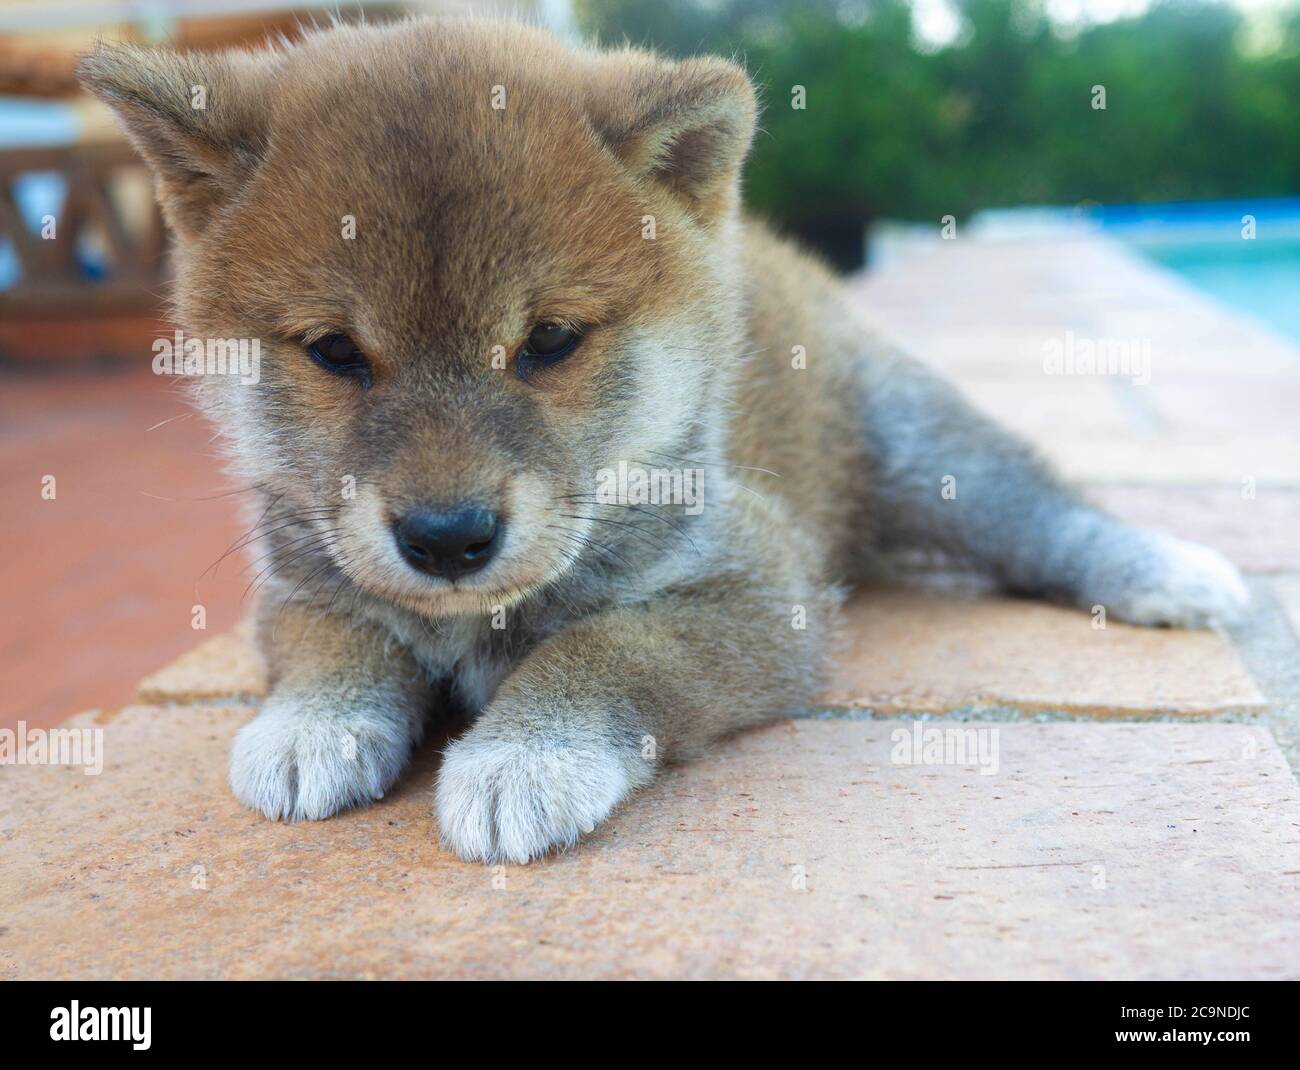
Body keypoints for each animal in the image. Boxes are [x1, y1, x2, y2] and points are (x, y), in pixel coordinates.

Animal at [80, 16, 1249, 864]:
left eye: (549, 341)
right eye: (333, 351)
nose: (448, 536)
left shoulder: (760, 587)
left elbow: (609, 644)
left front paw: (527, 753)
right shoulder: (293, 576)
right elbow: (335, 634)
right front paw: (312, 722)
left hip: (929, 453)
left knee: (1045, 508)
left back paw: (1165, 569)